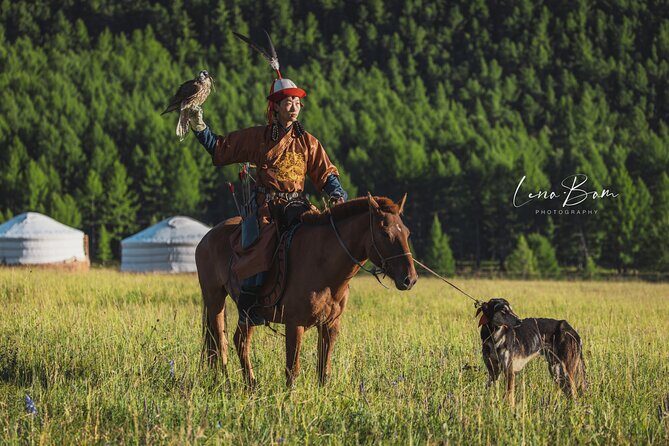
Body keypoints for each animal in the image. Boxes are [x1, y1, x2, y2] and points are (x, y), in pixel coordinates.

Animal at [195, 193, 417, 387]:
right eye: (385, 233)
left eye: (407, 233)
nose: (410, 279)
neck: (324, 265)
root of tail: (206, 237)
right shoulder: (295, 325)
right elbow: (292, 369)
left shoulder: (330, 325)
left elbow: (323, 369)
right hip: (215, 299)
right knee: (220, 342)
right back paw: (225, 383)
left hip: (247, 314)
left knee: (238, 341)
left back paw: (250, 385)